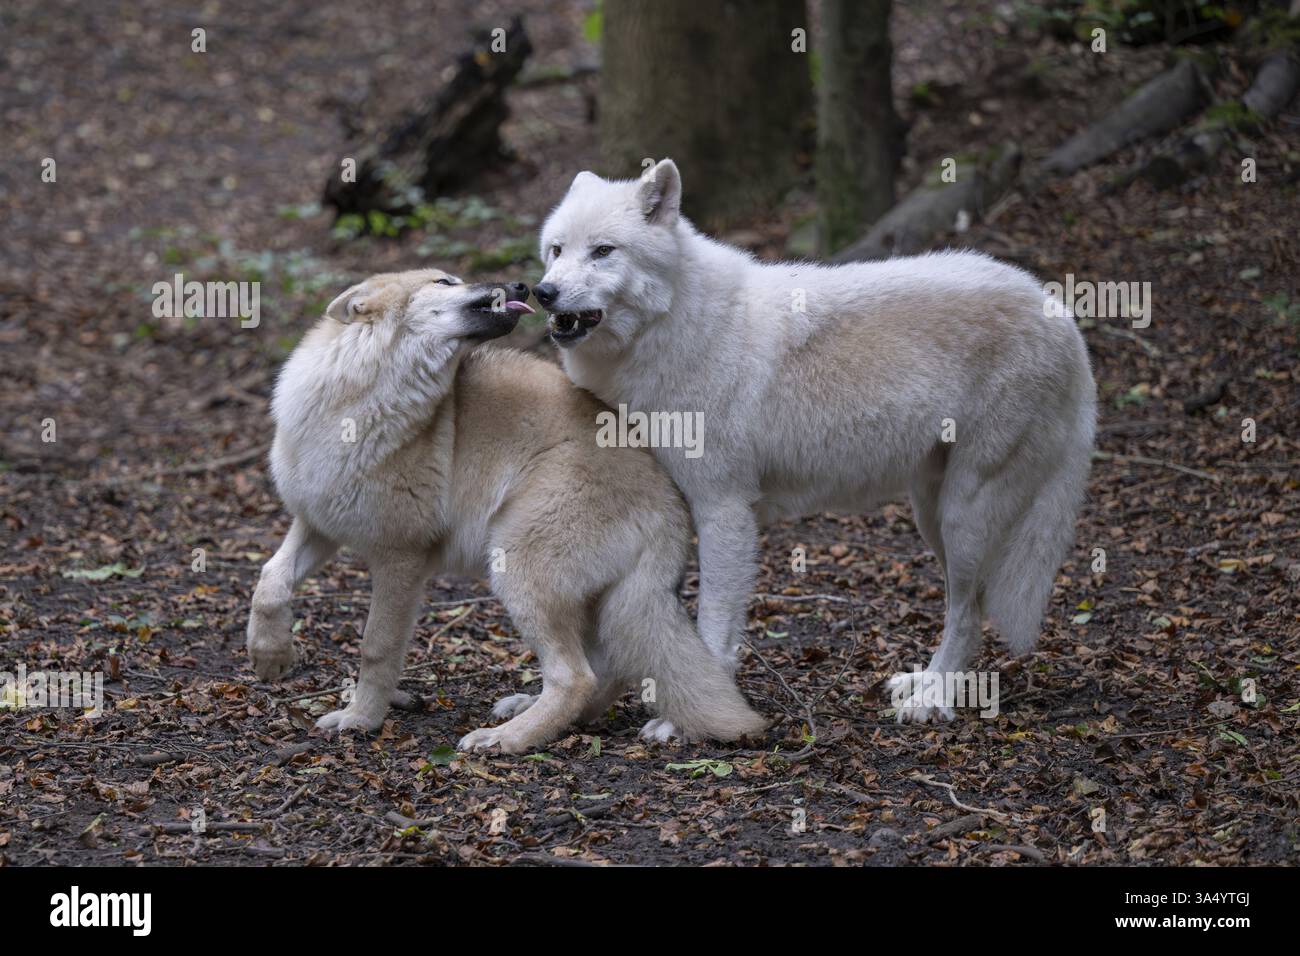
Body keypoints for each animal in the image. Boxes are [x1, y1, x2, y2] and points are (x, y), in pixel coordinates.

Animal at [245, 269, 765, 751]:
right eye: (444, 281)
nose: (523, 285)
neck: (360, 398)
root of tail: (672, 505)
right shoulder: (316, 525)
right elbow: (269, 581)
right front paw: (269, 654)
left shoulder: (399, 560)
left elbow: (376, 648)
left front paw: (360, 719)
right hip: (586, 599)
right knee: (605, 672)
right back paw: (532, 714)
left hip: (517, 571)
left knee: (576, 677)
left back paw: (507, 739)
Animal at [535, 160, 1097, 721]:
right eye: (557, 250)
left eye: (603, 251)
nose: (542, 292)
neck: (675, 327)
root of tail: (1061, 315)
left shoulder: (724, 508)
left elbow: (712, 621)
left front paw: (691, 720)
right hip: (932, 514)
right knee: (971, 607)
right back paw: (925, 682)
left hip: (966, 515)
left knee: (965, 612)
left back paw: (932, 699)